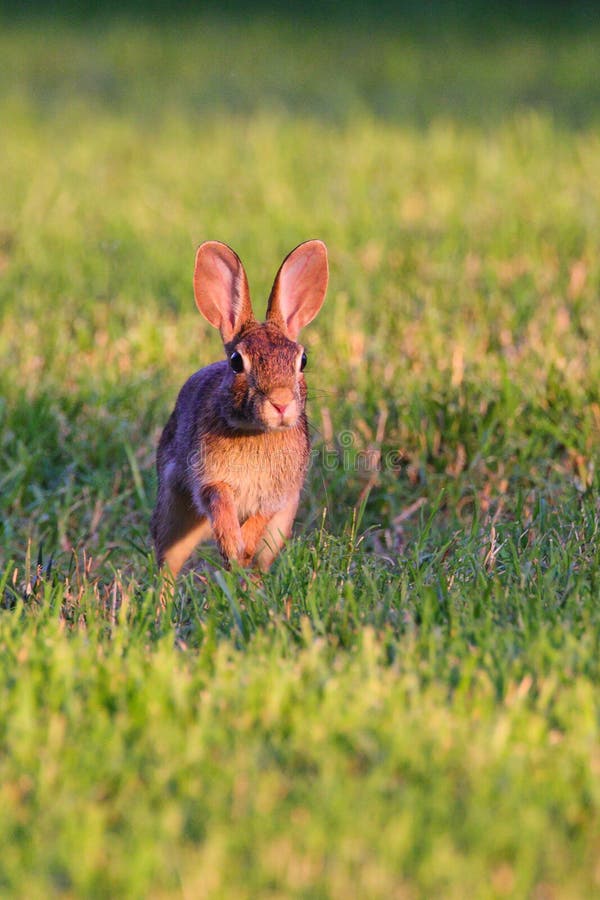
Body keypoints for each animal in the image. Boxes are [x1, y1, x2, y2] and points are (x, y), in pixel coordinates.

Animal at [151, 239, 329, 578]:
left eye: (302, 360)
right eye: (236, 362)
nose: (281, 402)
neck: (255, 432)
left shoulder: (276, 498)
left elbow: (260, 517)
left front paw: (241, 548)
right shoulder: (208, 479)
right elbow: (219, 499)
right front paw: (232, 546)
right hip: (174, 509)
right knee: (168, 561)